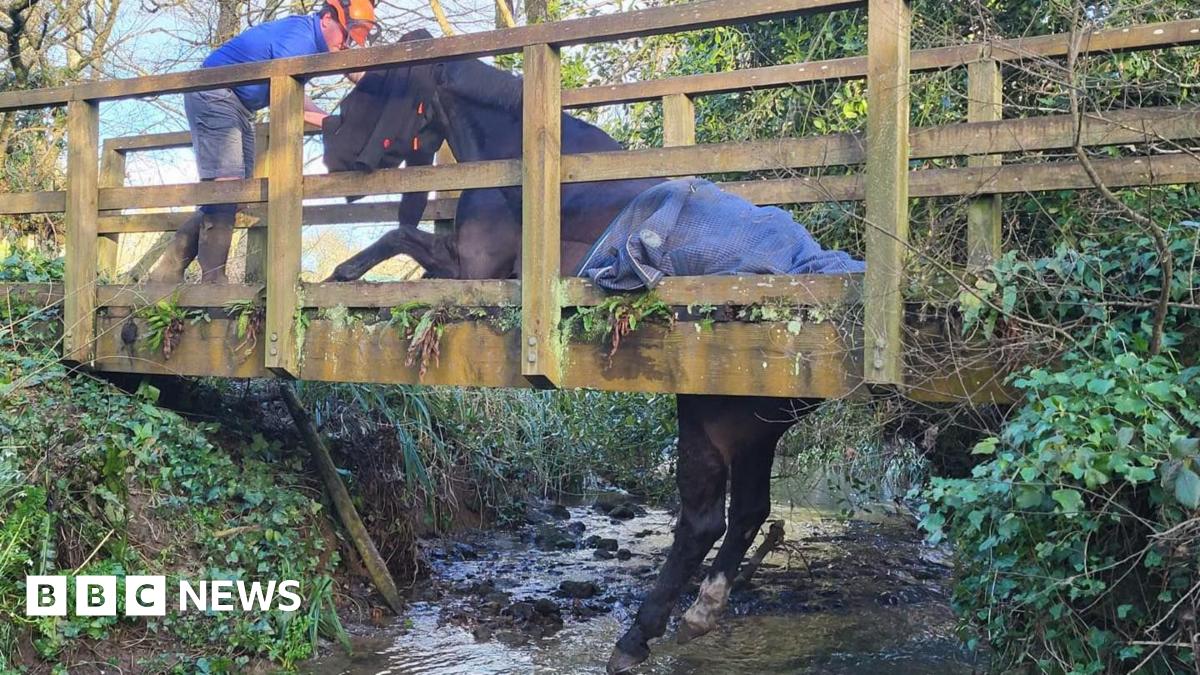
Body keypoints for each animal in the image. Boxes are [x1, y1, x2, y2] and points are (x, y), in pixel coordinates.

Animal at [321, 30, 820, 674]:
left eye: (374, 83)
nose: (328, 139)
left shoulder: (475, 272)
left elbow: (398, 236)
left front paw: (343, 274)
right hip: (755, 423)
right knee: (750, 512)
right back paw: (699, 613)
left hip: (708, 409)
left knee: (703, 519)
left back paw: (636, 636)